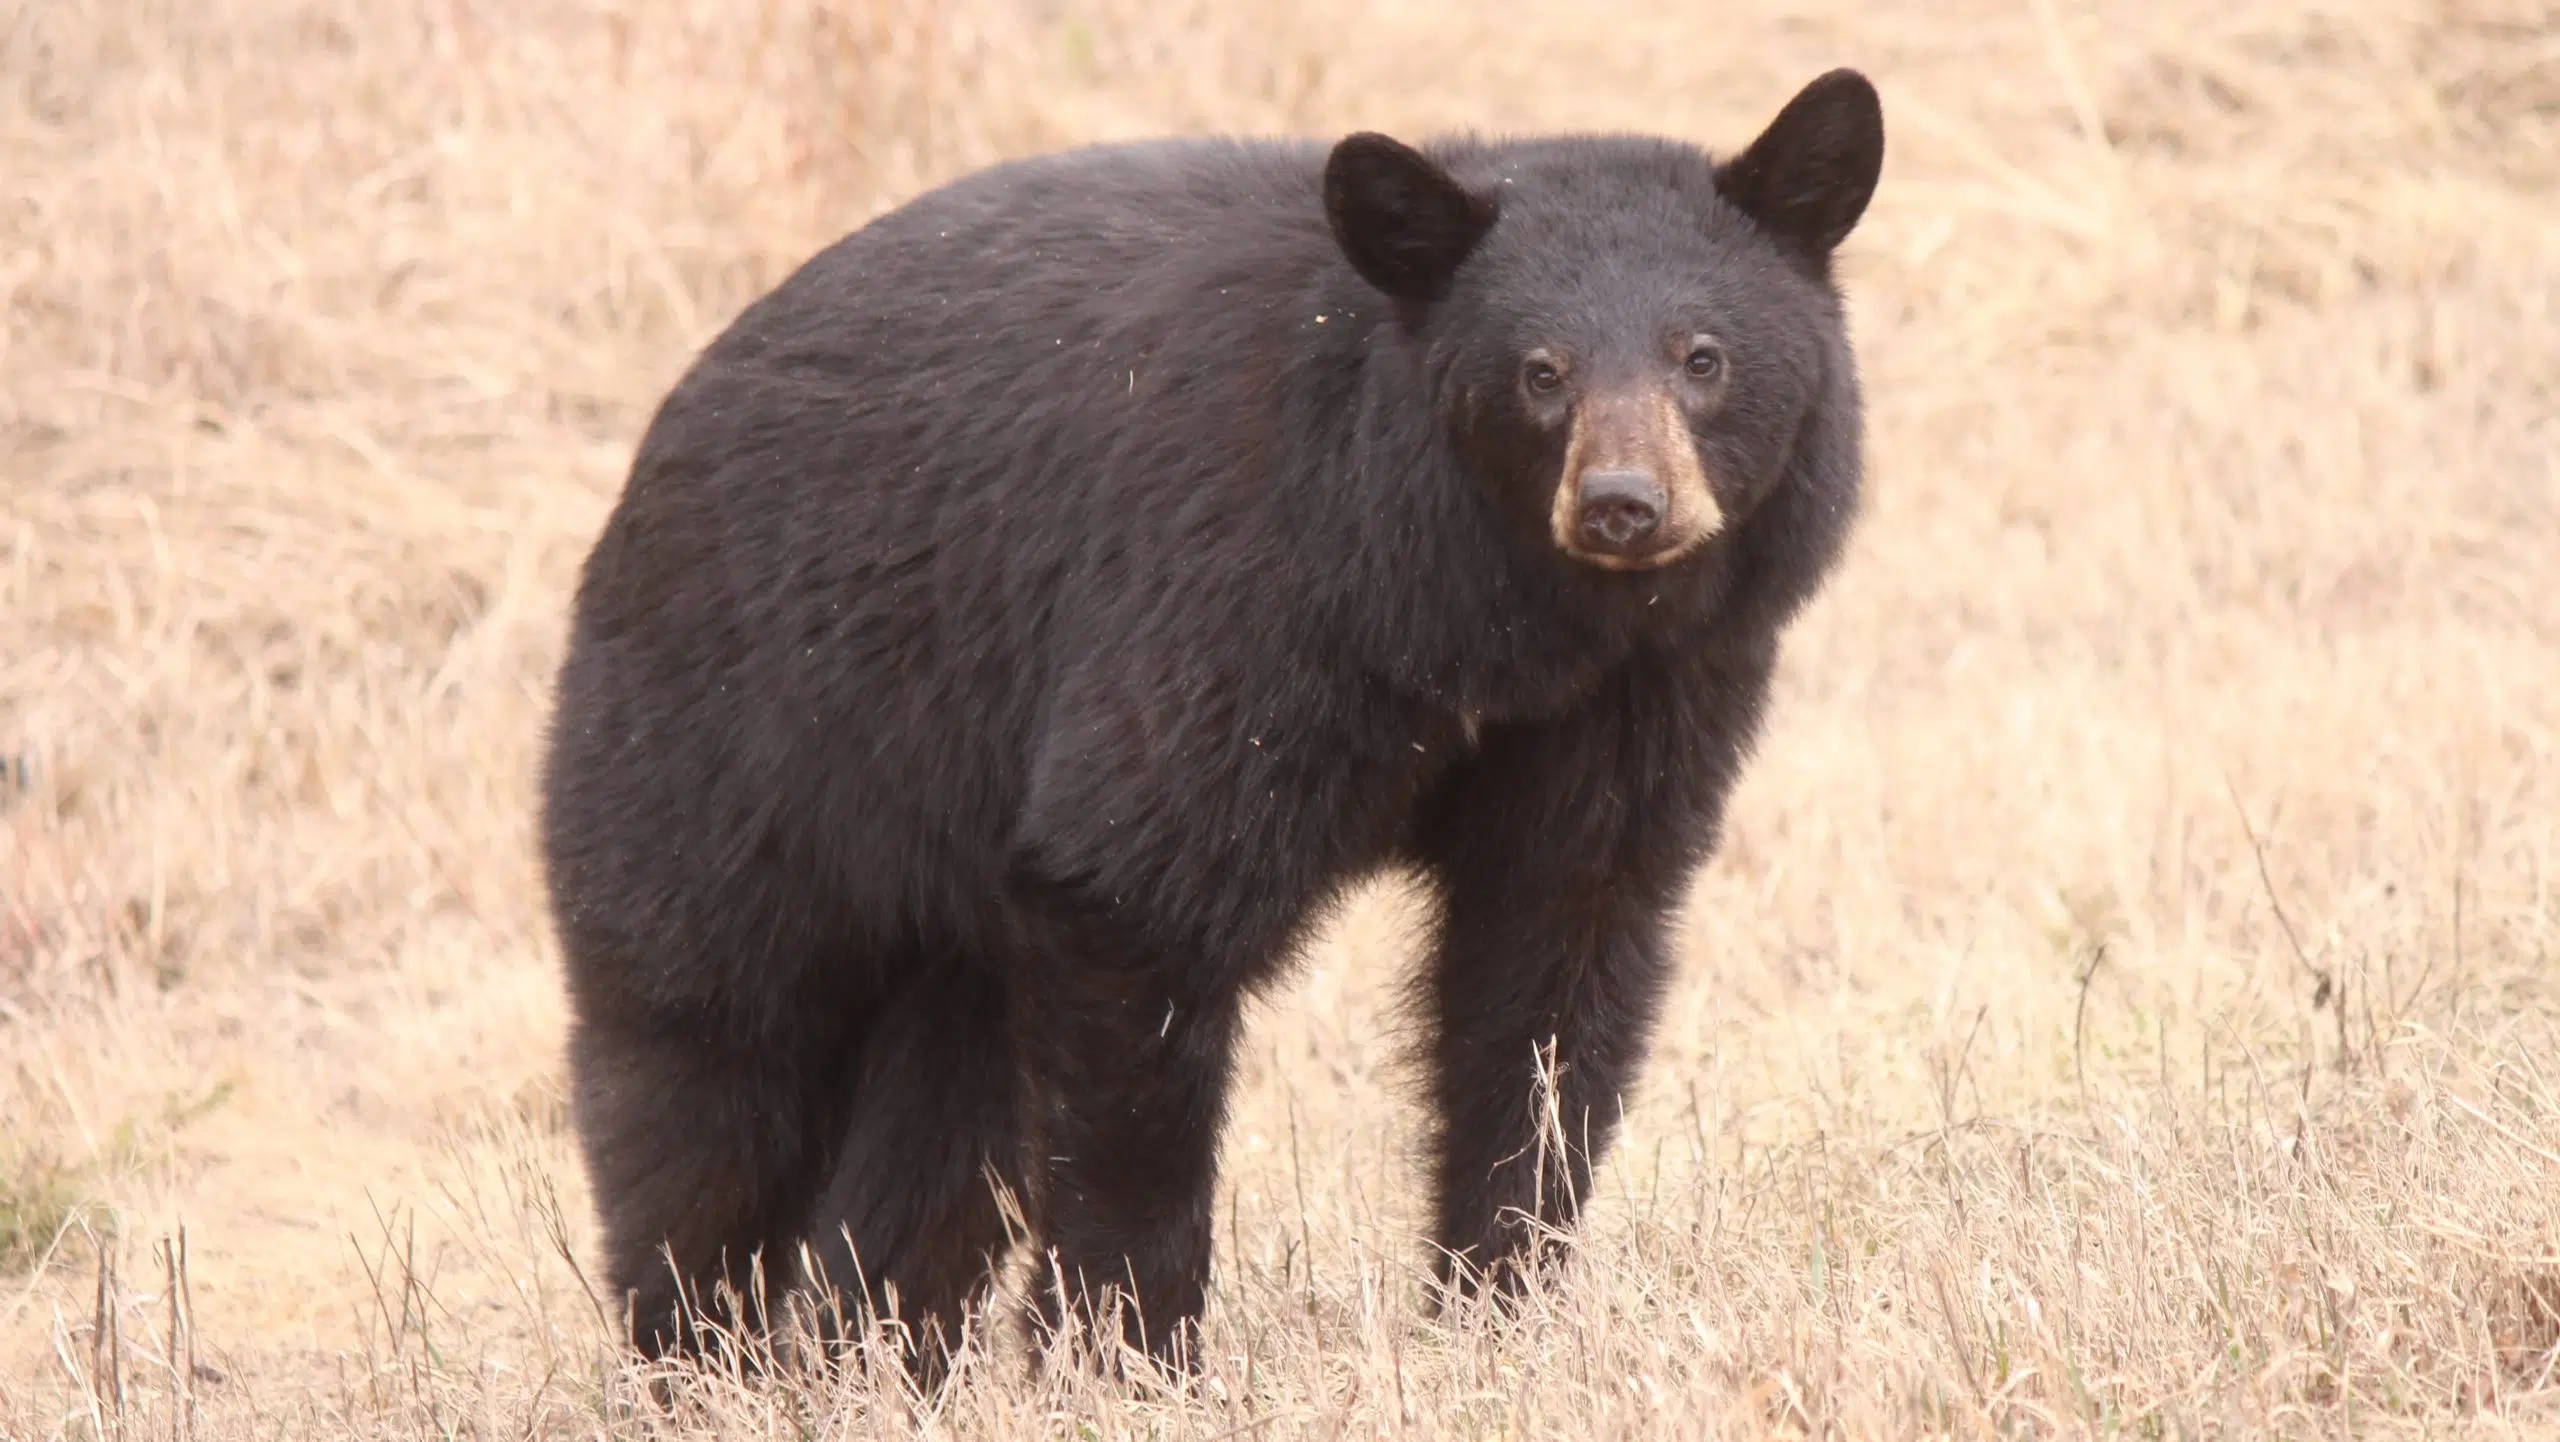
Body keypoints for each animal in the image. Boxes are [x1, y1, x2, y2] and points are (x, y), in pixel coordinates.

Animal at [539, 68, 1885, 1373]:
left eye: (1701, 356)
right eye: (1539, 372)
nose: (1621, 506)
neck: (1482, 610)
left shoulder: (1637, 693)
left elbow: (1556, 957)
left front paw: (1498, 1306)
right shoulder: (1238, 592)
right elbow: (1133, 889)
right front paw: (1130, 1351)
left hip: (934, 894)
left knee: (938, 1121)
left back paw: (872, 1354)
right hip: (741, 742)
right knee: (707, 1064)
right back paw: (697, 1354)